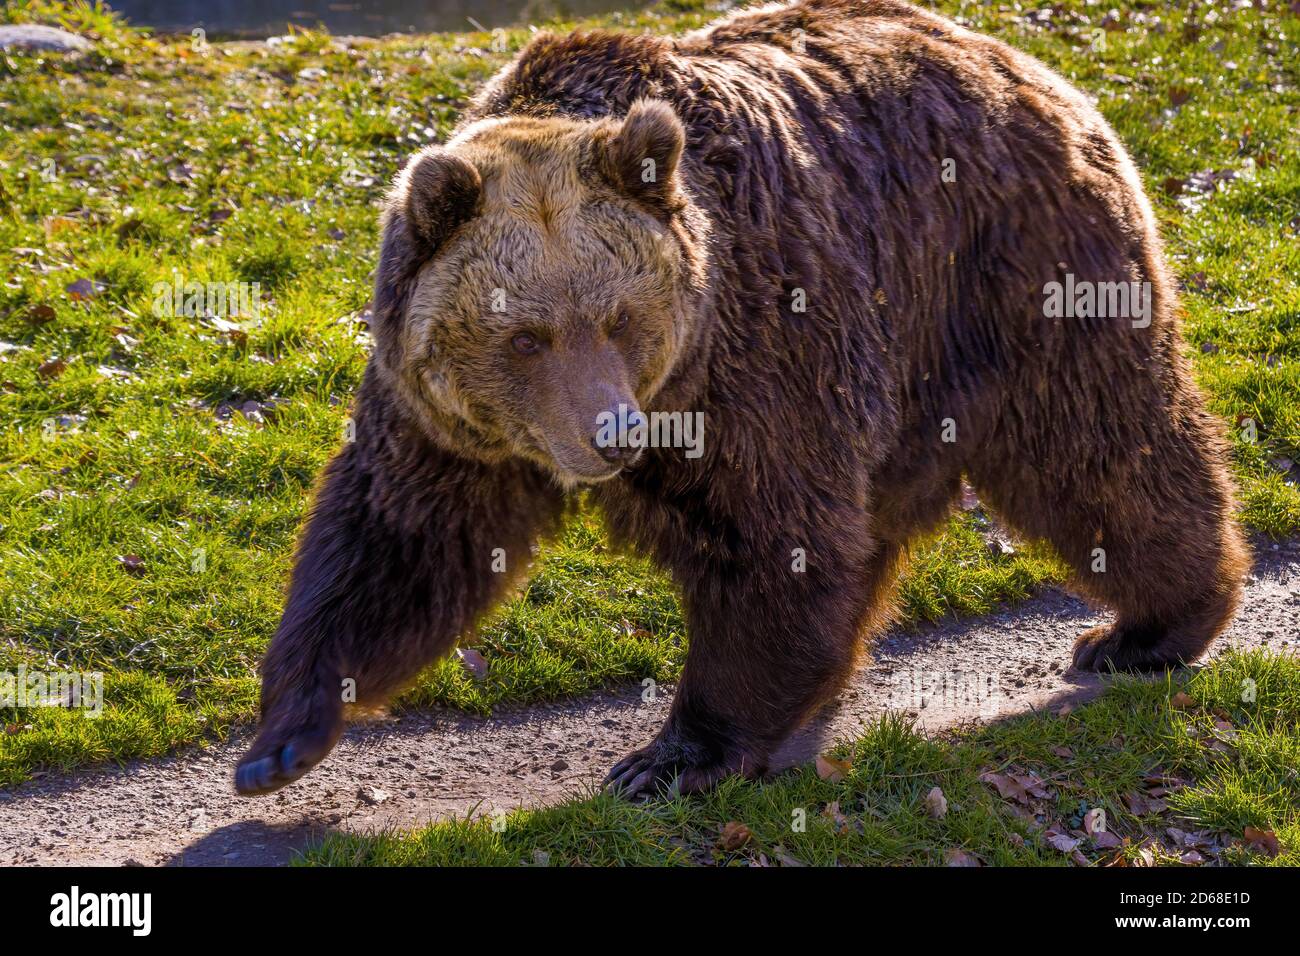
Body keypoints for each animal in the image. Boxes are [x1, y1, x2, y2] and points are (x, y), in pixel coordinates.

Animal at [234, 0, 1249, 798]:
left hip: (1011, 273)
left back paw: (1148, 628)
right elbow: (397, 540)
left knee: (1098, 449)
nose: (610, 435)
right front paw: (282, 739)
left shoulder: (752, 350)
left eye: (619, 317)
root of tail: (1032, 63)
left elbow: (770, 536)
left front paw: (671, 757)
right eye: (525, 335)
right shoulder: (443, 419)